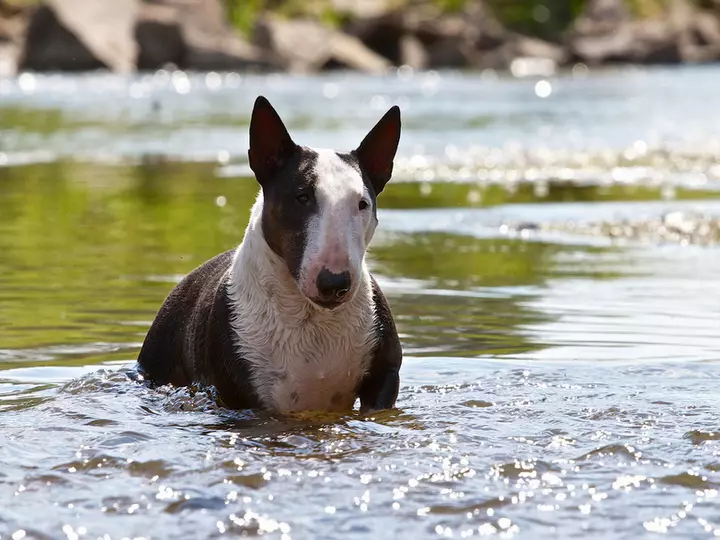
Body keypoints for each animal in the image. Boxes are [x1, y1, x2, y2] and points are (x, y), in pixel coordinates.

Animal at [136, 96, 404, 414]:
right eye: (302, 197)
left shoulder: (386, 375)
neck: (310, 320)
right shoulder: (241, 398)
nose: (335, 283)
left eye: (362, 204)